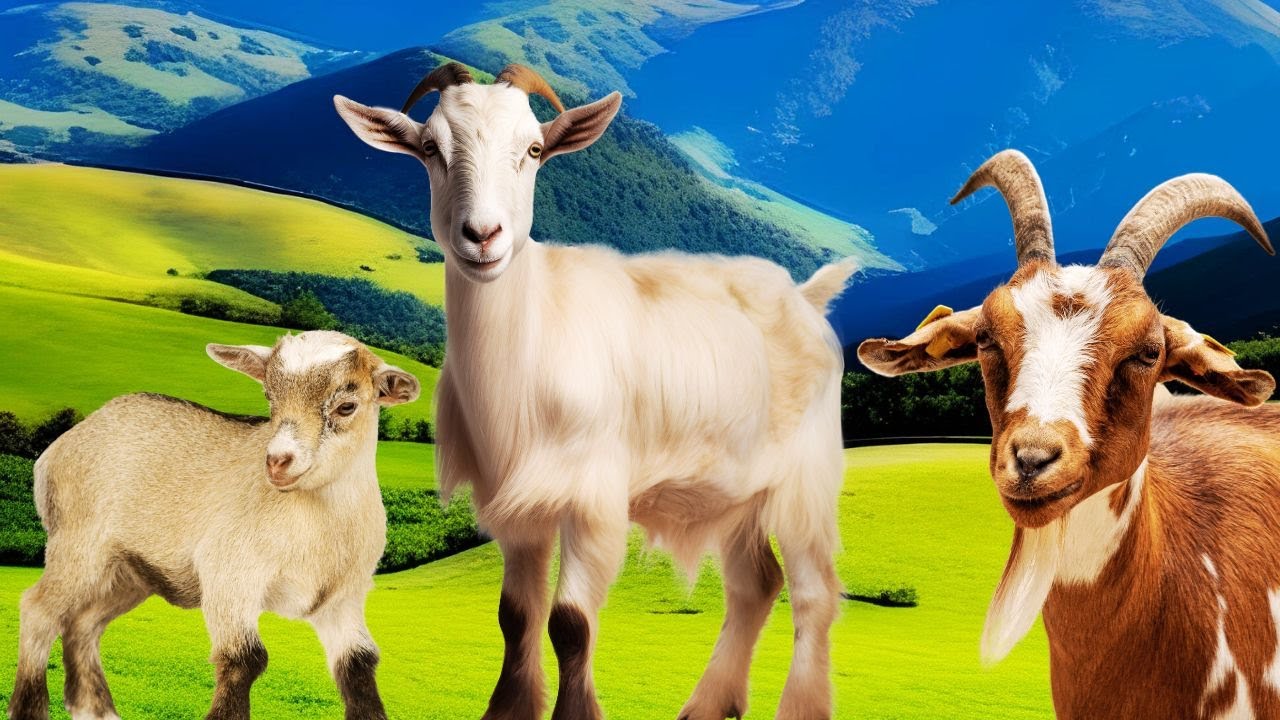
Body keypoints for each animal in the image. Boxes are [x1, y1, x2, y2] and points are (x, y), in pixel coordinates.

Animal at [8, 330, 419, 720]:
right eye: (270, 398)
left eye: (346, 406)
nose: (277, 461)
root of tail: (57, 449)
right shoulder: (228, 574)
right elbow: (245, 658)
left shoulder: (344, 597)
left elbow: (359, 661)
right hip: (79, 543)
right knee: (39, 609)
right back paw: (29, 708)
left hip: (127, 572)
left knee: (84, 624)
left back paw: (97, 709)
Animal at [334, 63, 853, 720]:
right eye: (430, 148)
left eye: (534, 149)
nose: (483, 235)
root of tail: (807, 296)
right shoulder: (514, 502)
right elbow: (515, 615)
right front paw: (508, 707)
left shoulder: (594, 493)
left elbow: (570, 622)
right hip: (736, 493)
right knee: (755, 585)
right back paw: (707, 704)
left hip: (807, 478)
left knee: (814, 594)